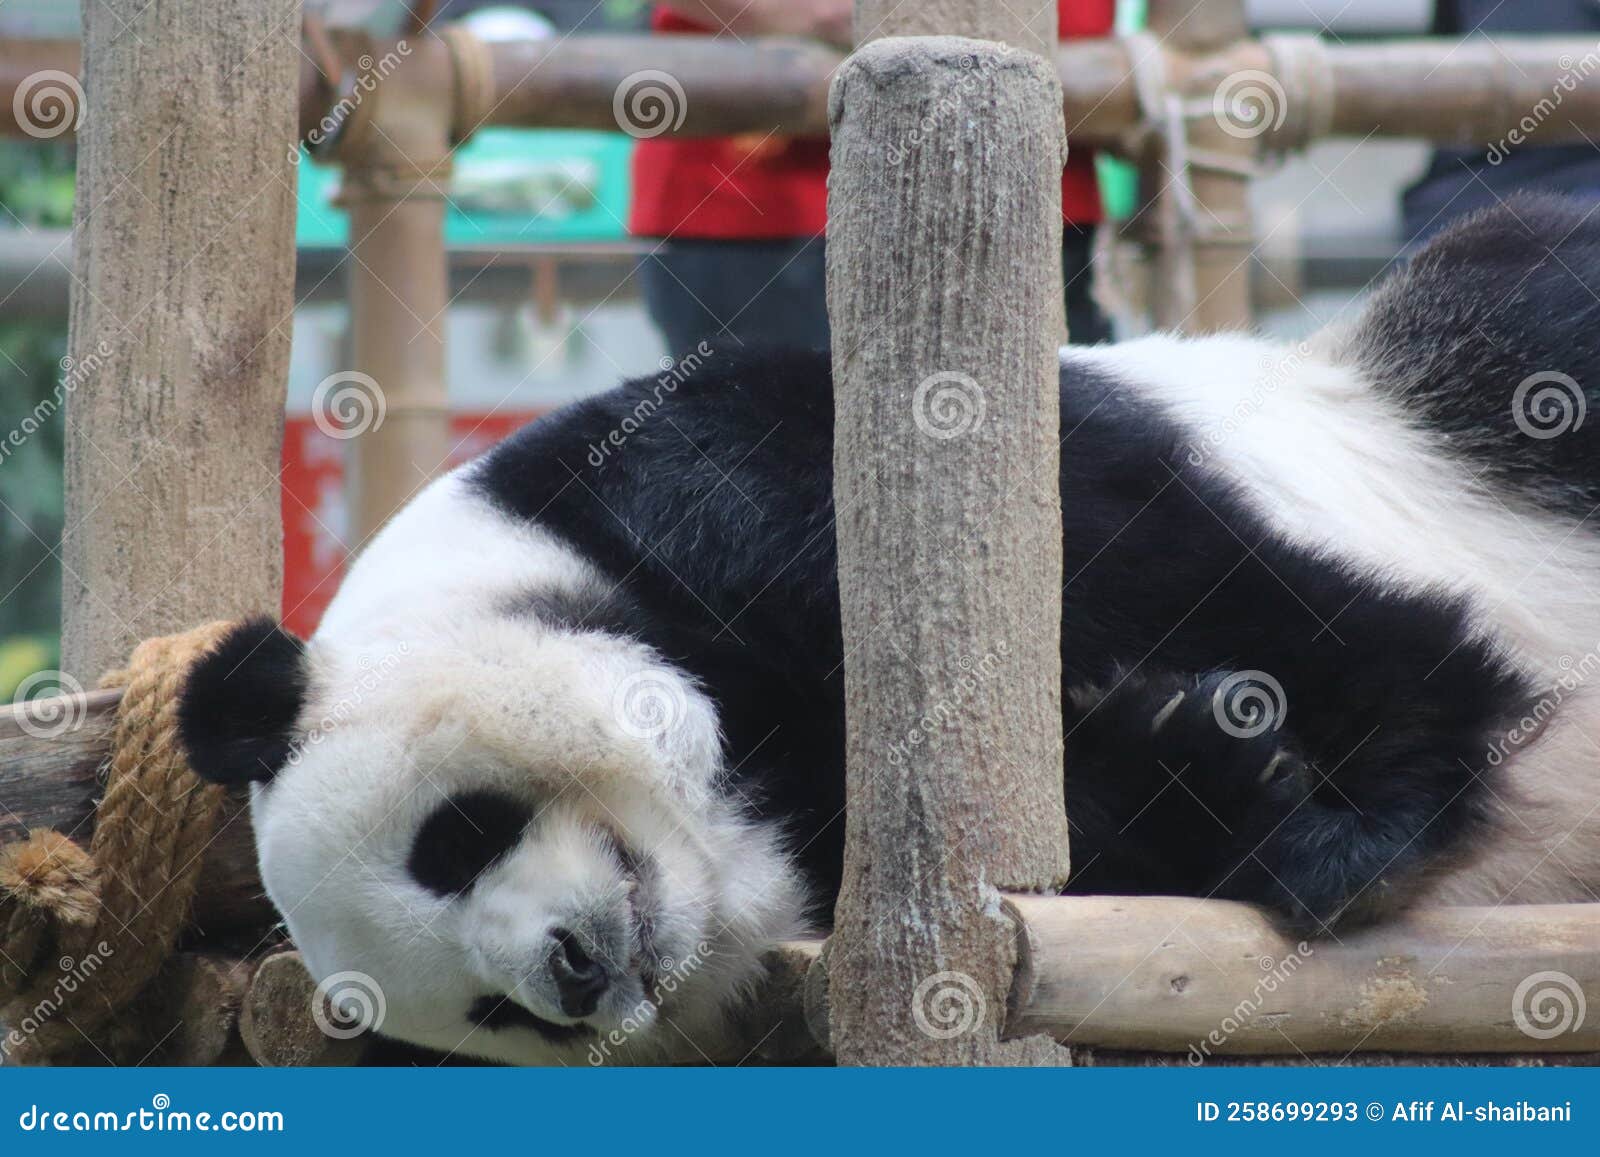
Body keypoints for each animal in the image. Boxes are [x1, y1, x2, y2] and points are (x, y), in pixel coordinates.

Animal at [178, 196, 1600, 1064]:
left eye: (457, 837)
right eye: (490, 1013)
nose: (574, 969)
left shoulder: (688, 464)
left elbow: (1157, 566)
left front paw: (1365, 798)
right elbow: (1096, 841)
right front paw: (1213, 762)